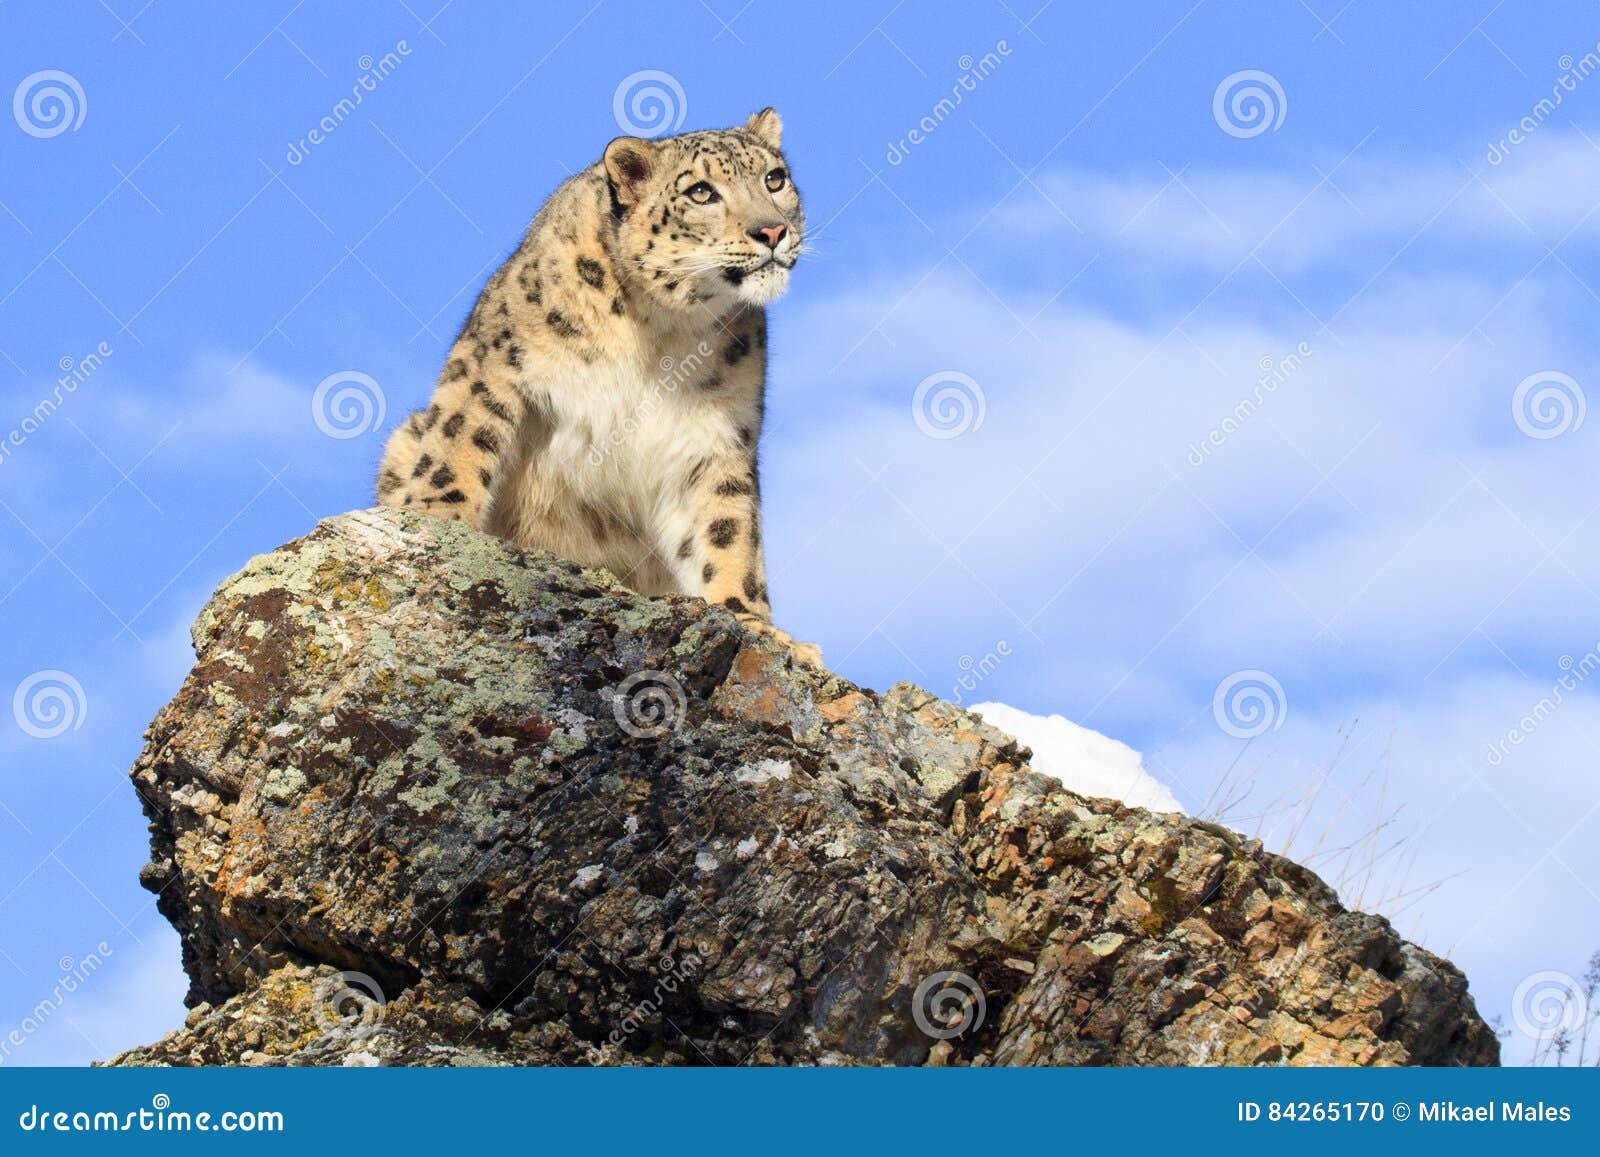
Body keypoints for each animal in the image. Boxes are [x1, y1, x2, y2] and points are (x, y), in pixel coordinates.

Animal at [376, 108, 821, 667]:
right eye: (700, 192)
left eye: (774, 179)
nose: (773, 230)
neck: (660, 329)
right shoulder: (495, 361)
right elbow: (460, 442)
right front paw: (437, 519)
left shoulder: (716, 435)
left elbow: (727, 528)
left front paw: (755, 623)